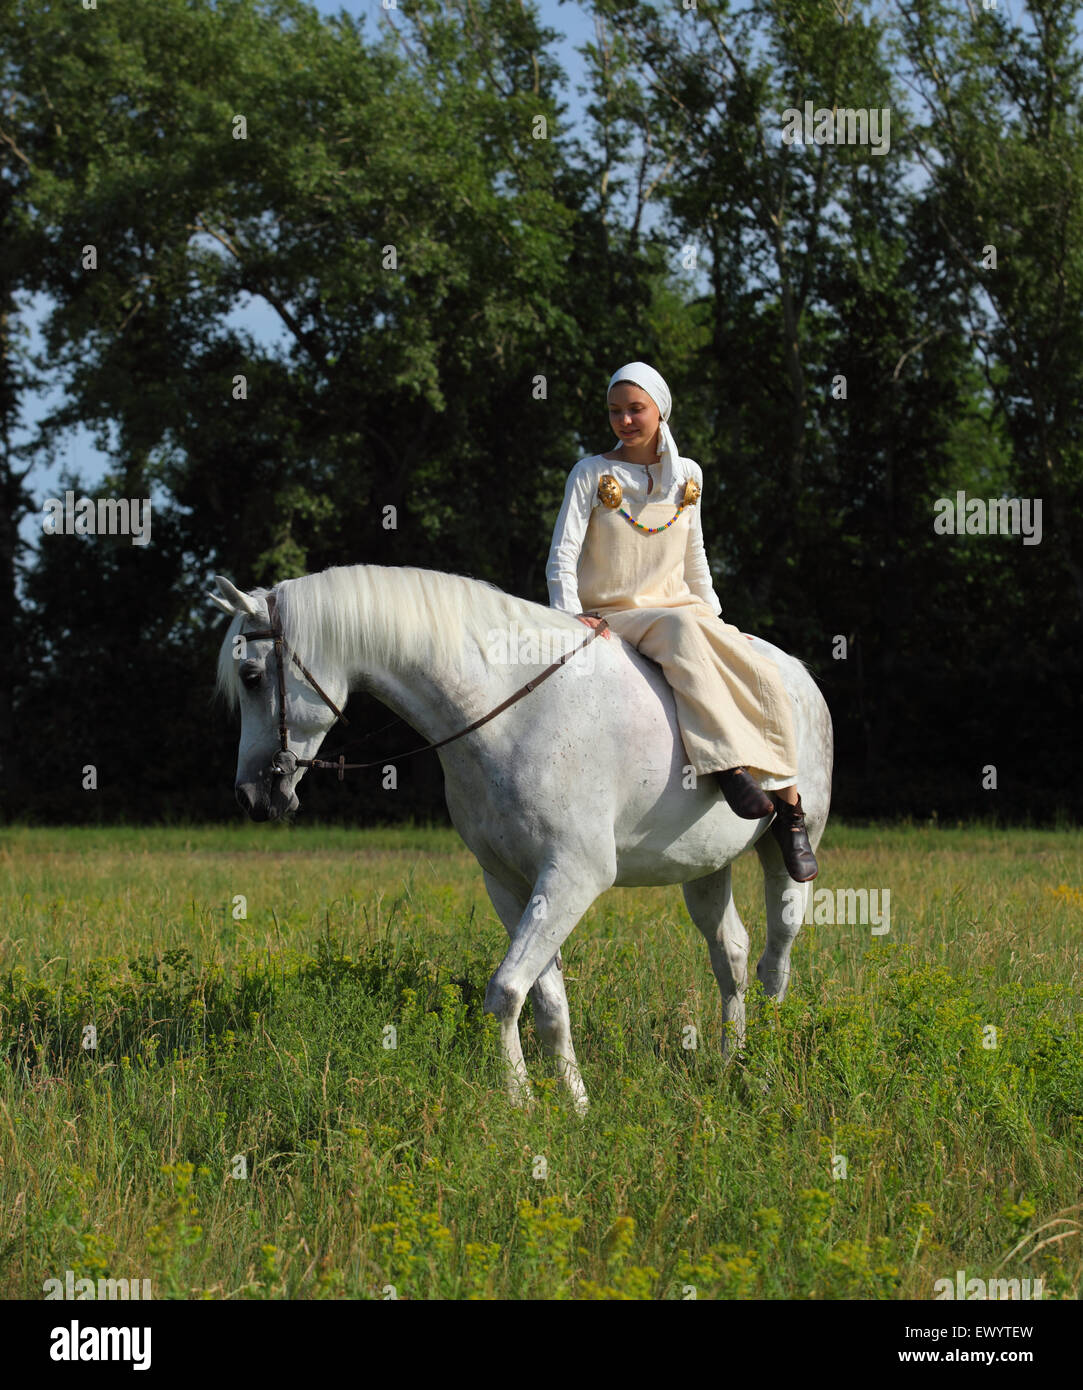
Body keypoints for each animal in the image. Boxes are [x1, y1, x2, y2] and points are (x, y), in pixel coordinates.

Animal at [211, 563, 833, 1112]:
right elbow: (546, 1000)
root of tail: (799, 675)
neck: (507, 712)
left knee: (776, 959)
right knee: (732, 956)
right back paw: (730, 1063)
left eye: (252, 677)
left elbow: (507, 990)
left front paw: (518, 1102)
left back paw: (764, 1071)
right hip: (705, 867)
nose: (250, 797)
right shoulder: (508, 882)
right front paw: (571, 1102)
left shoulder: (573, 878)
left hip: (784, 857)